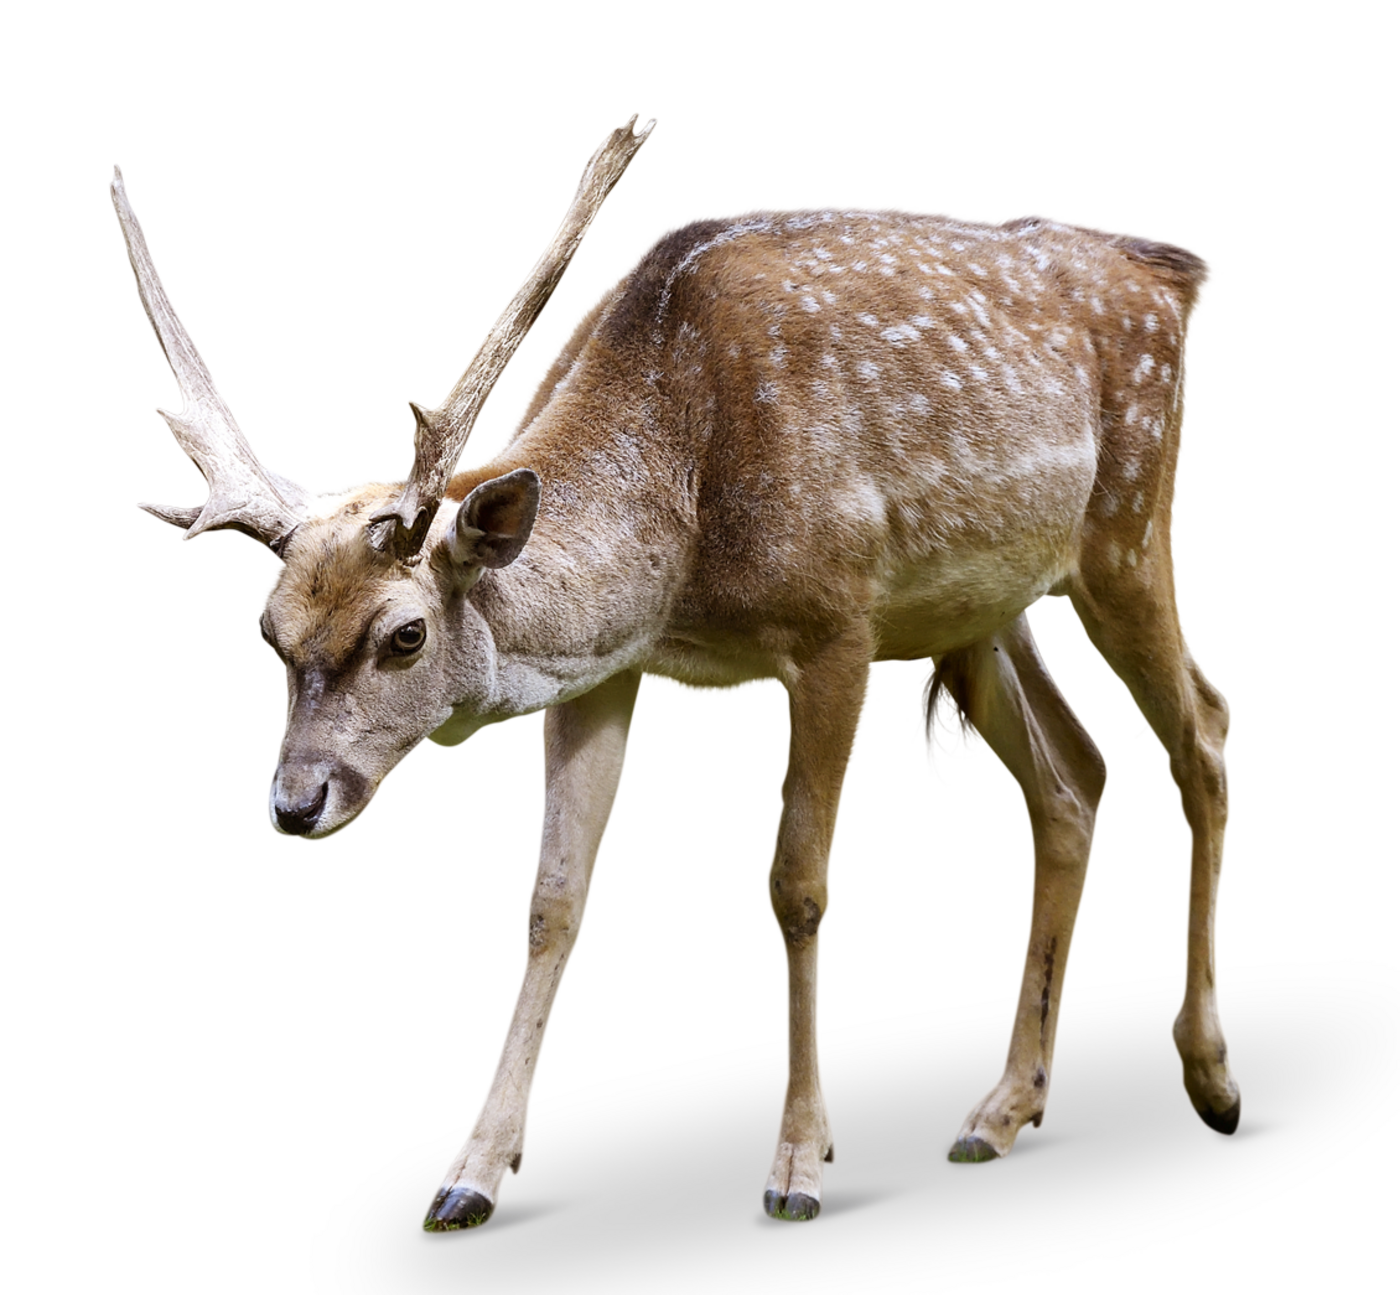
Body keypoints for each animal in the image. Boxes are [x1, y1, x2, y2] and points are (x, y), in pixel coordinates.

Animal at [110, 113, 1240, 1232]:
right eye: (267, 632)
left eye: (404, 634)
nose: (294, 801)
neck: (681, 537)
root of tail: (1180, 270)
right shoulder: (601, 674)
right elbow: (552, 898)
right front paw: (472, 1173)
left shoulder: (837, 624)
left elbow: (797, 885)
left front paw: (798, 1163)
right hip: (989, 602)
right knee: (1074, 776)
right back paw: (1000, 1109)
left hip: (1127, 526)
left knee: (1203, 728)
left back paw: (1209, 1075)